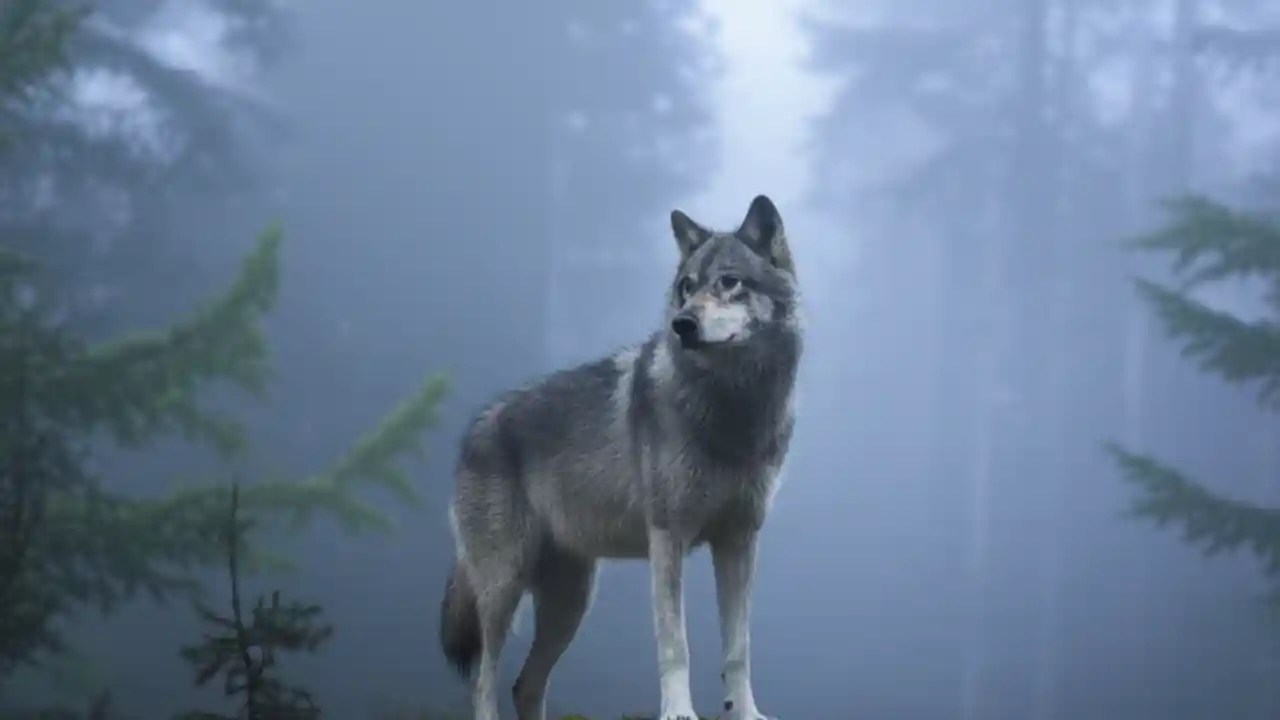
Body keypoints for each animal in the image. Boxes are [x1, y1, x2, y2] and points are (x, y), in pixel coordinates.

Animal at [439, 195, 802, 720]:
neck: (731, 410)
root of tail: (476, 427)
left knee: (525, 685)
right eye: (687, 286)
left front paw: (747, 713)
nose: (683, 323)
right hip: (502, 591)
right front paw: (678, 712)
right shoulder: (667, 537)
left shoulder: (738, 541)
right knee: (484, 683)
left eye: (729, 281)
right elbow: (675, 644)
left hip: (571, 602)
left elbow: (738, 647)